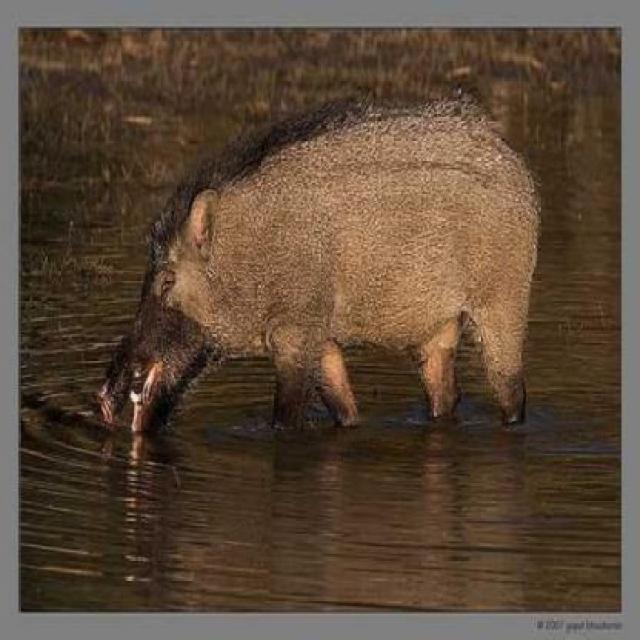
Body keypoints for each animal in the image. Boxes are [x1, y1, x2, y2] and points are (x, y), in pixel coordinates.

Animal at [98, 95, 540, 433]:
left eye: (167, 279)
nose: (103, 397)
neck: (247, 260)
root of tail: (516, 165)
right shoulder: (321, 336)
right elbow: (343, 407)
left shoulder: (296, 329)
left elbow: (287, 415)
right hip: (440, 330)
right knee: (446, 396)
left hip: (503, 302)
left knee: (512, 393)